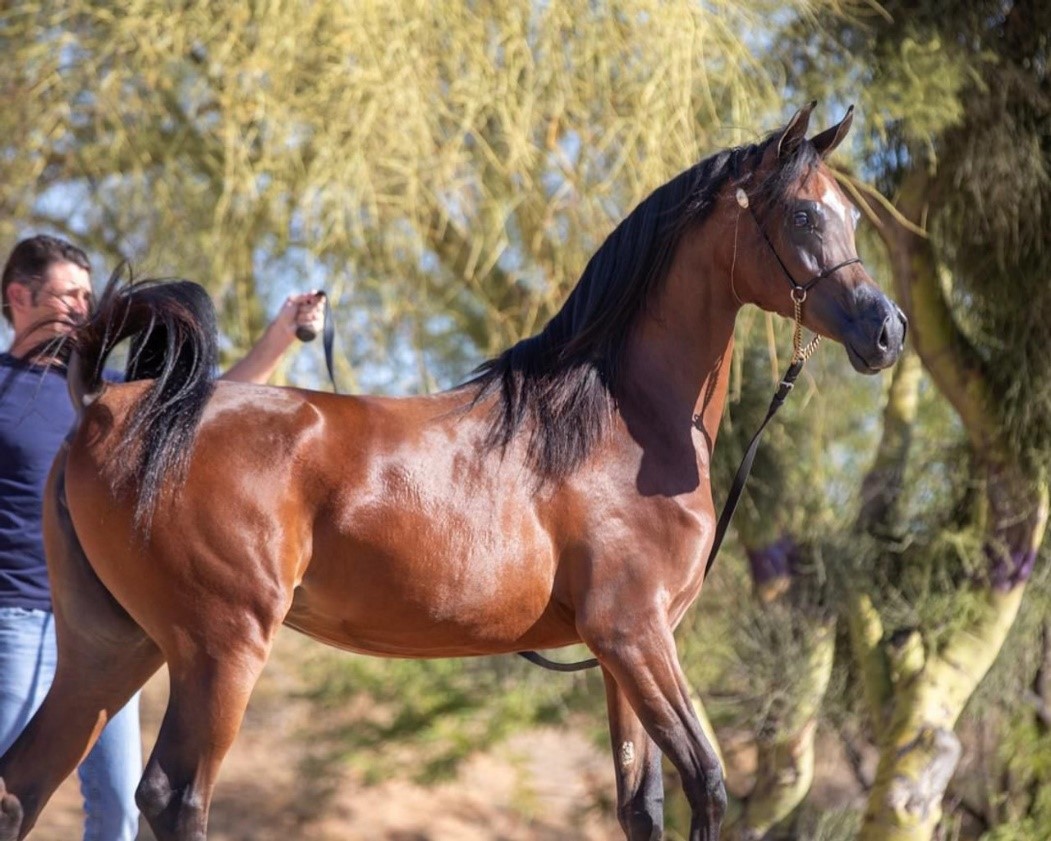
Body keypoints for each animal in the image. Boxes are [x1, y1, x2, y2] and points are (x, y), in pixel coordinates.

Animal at [0, 102, 905, 841]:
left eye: (852, 216)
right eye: (801, 212)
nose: (886, 330)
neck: (615, 426)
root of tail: (108, 404)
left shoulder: (624, 650)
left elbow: (641, 805)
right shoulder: (634, 631)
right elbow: (708, 785)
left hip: (111, 647)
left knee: (24, 786)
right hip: (220, 645)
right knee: (175, 797)